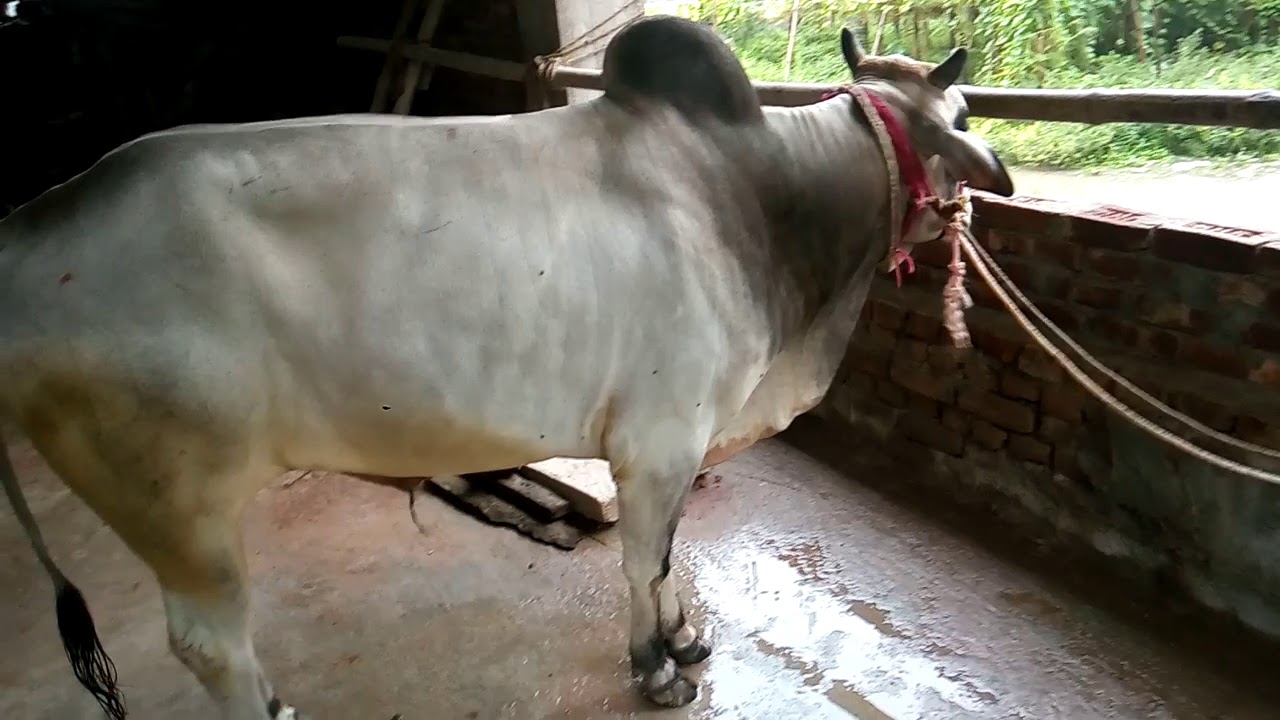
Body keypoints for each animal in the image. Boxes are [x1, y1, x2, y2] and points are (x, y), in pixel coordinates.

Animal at [0, 16, 1012, 719]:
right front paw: (656, 667)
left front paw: (685, 638)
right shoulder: (660, 440)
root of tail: (29, 238)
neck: (758, 200)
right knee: (210, 647)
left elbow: (670, 554)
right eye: (964, 115)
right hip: (180, 510)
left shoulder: (681, 446)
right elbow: (644, 559)